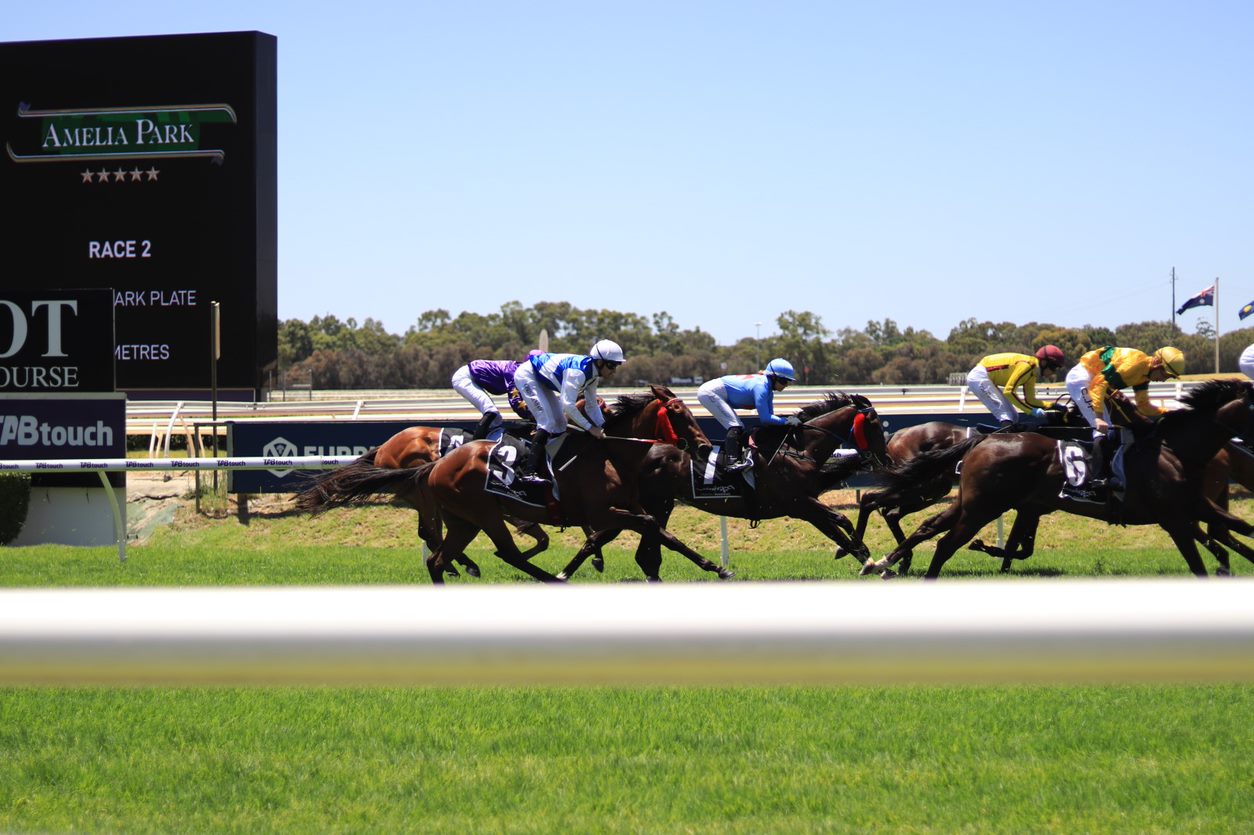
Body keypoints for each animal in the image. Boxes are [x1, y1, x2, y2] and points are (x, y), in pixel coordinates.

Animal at [857, 378, 1254, 579]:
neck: (1175, 448)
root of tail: (982, 441)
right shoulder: (1174, 518)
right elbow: (1200, 558)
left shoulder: (1194, 506)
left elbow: (1235, 530)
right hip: (973, 503)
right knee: (931, 535)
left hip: (969, 501)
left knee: (926, 526)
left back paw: (883, 562)